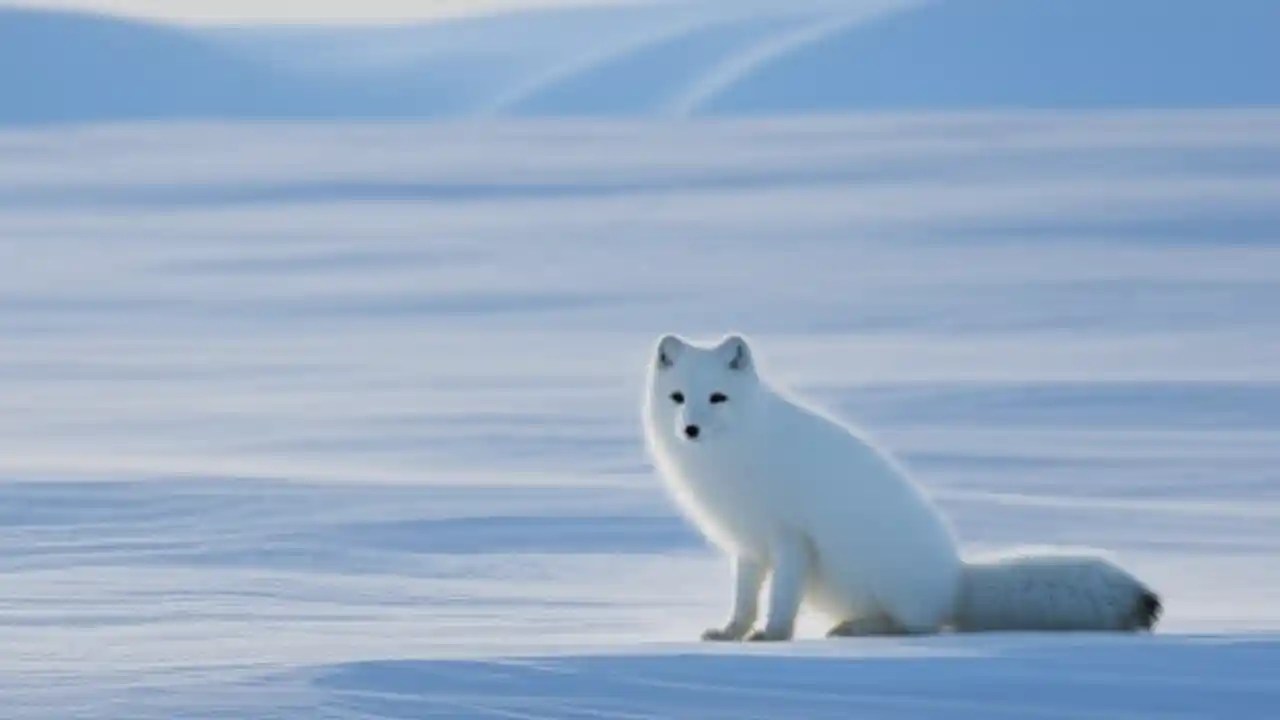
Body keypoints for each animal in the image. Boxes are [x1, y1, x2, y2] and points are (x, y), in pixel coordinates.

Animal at [643, 334, 1161, 641]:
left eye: (718, 397)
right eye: (677, 397)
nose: (690, 429)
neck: (732, 458)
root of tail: (954, 579)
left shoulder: (791, 538)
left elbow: (781, 597)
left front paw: (773, 635)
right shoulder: (748, 543)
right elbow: (744, 598)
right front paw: (730, 632)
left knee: (919, 625)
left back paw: (860, 628)